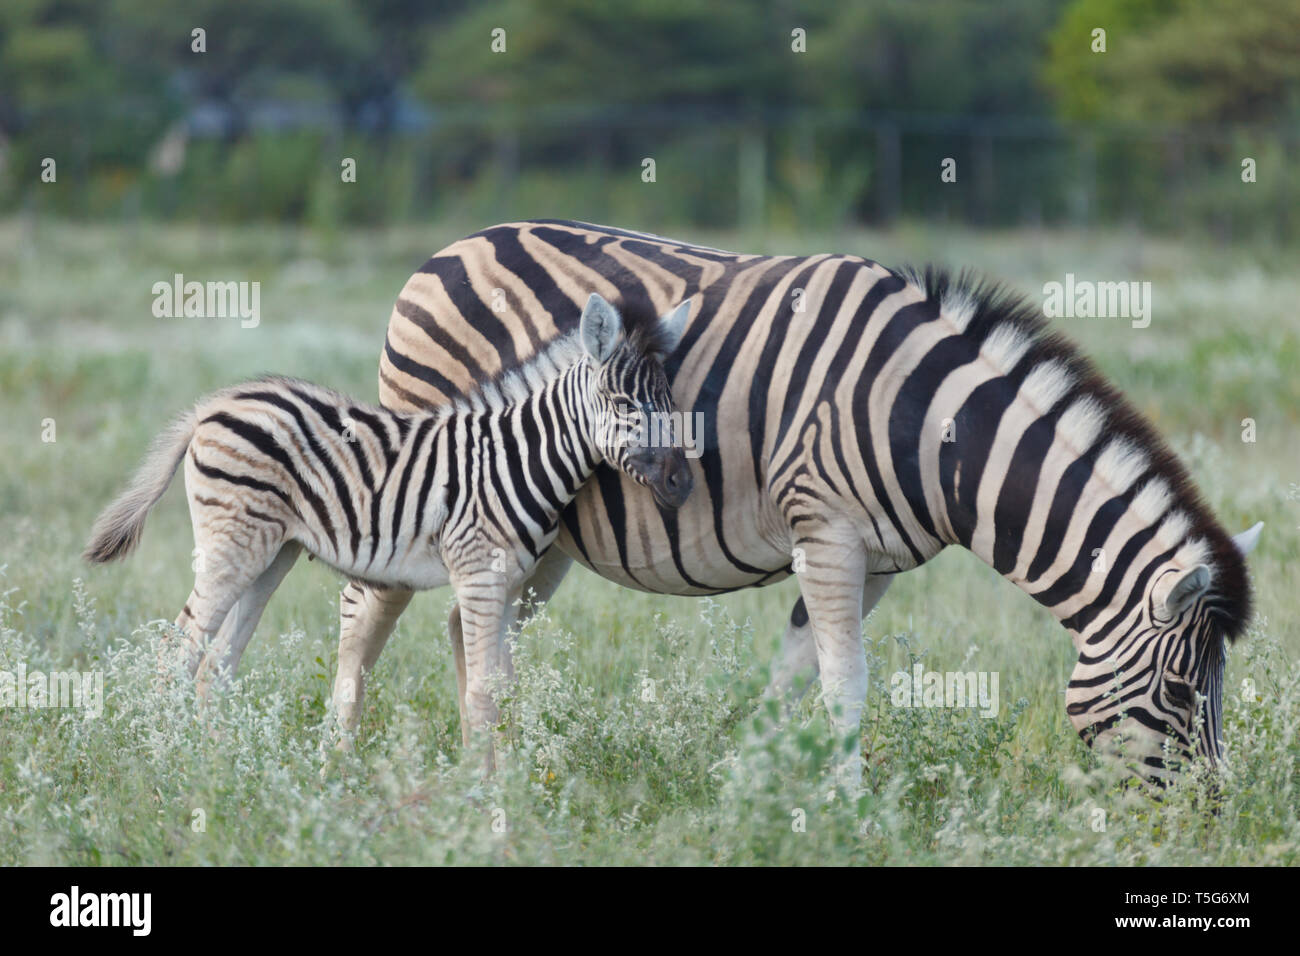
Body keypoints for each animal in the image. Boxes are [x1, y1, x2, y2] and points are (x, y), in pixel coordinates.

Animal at [83, 292, 694, 751]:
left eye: (669, 400)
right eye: (624, 404)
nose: (682, 483)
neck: (518, 456)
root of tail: (215, 403)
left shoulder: (509, 584)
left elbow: (499, 691)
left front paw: (505, 786)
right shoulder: (478, 576)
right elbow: (480, 696)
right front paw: (485, 803)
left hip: (271, 552)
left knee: (215, 666)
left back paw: (219, 771)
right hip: (232, 546)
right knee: (175, 655)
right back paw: (165, 764)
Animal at [341, 219, 1262, 785]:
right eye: (1182, 694)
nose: (1210, 818)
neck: (933, 428)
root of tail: (445, 251)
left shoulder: (876, 559)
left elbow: (795, 680)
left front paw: (750, 785)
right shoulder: (826, 533)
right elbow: (845, 684)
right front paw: (852, 813)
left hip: (537, 531)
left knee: (472, 625)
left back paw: (493, 771)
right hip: (420, 483)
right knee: (364, 617)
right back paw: (339, 773)